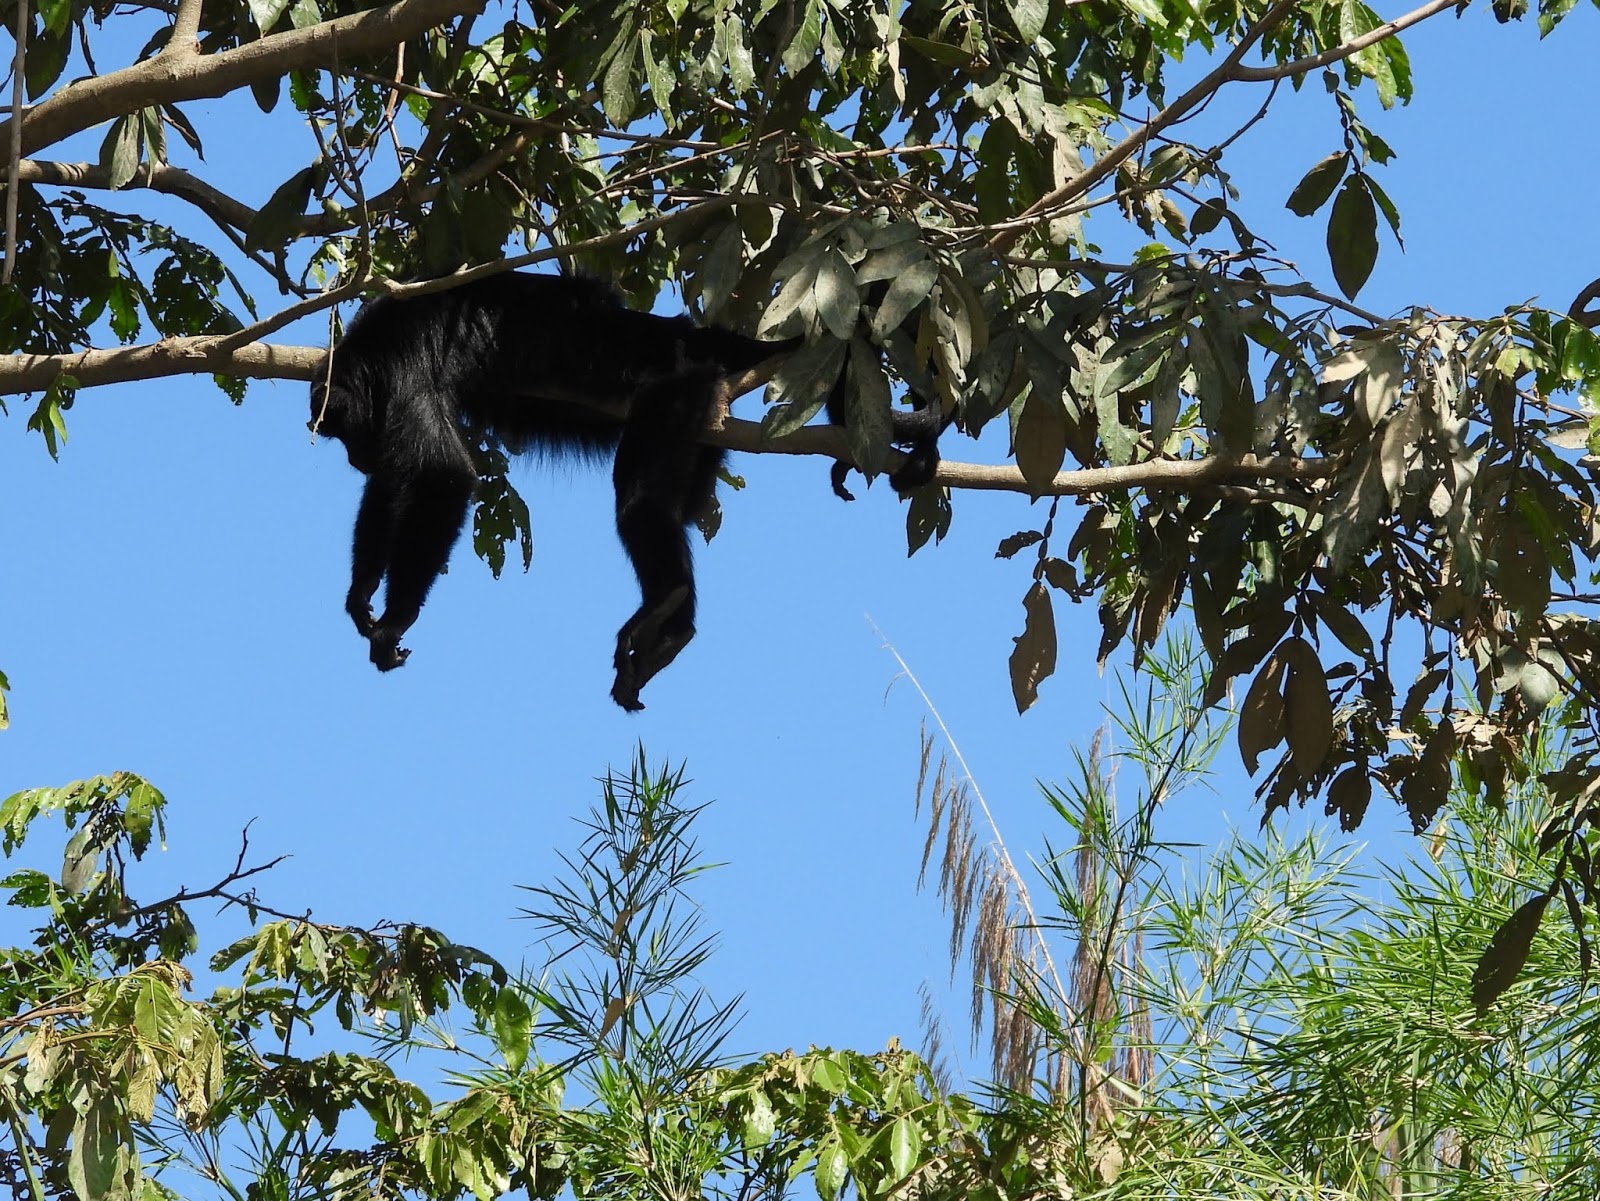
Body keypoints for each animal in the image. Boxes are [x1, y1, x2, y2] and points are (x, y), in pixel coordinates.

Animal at [310, 270, 796, 711]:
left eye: (343, 433)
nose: (356, 458)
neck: (369, 350)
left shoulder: (405, 372)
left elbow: (442, 476)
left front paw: (396, 621)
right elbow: (392, 480)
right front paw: (361, 594)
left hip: (676, 389)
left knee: (641, 506)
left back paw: (665, 608)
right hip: (708, 410)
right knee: (681, 508)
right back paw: (675, 631)